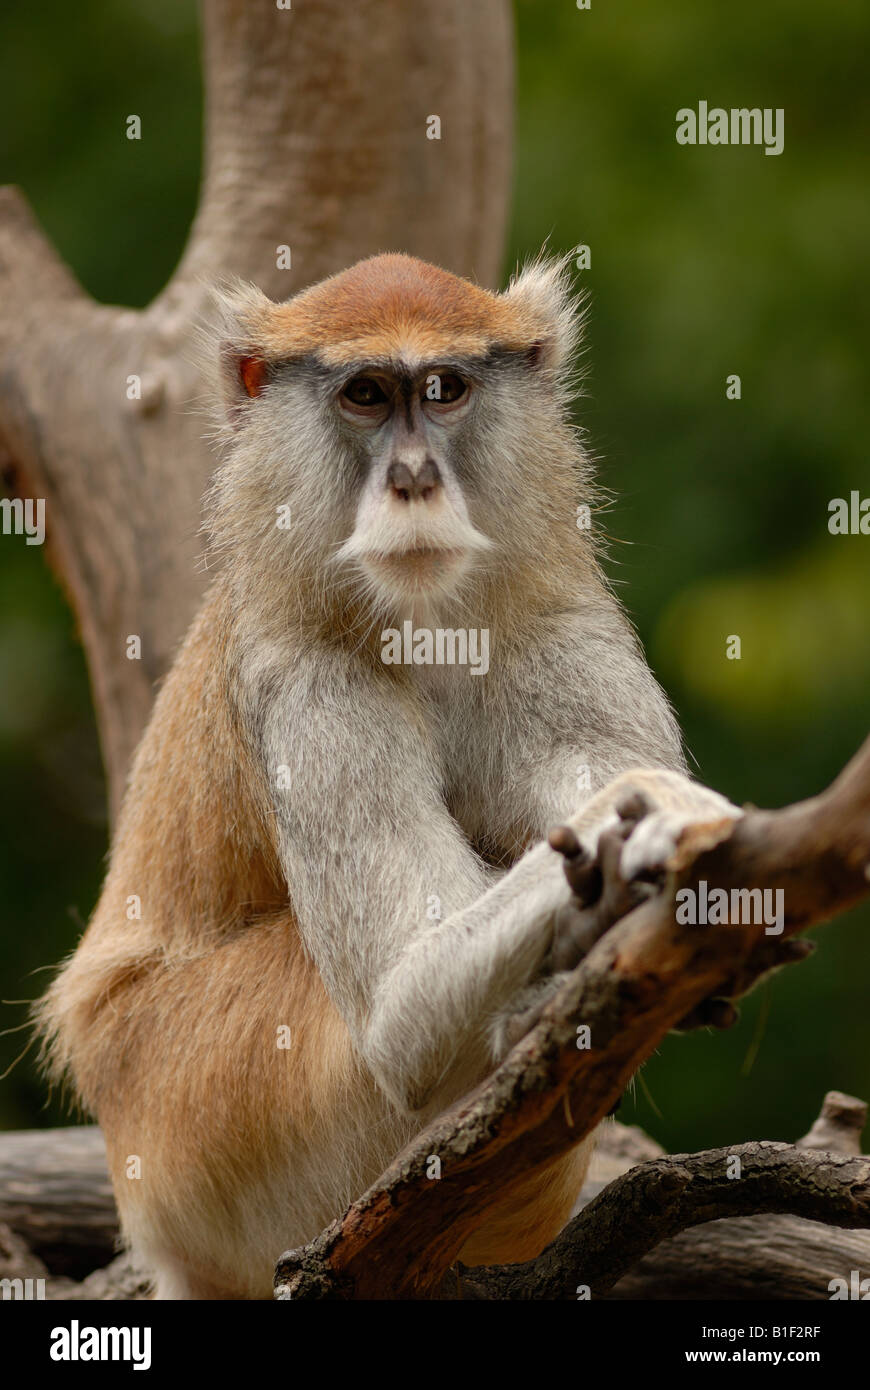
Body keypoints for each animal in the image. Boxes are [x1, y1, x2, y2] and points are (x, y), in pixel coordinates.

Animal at [36, 252, 740, 1300]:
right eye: (367, 395)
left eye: (443, 390)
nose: (413, 477)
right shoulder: (307, 688)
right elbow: (402, 1015)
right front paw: (662, 813)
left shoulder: (569, 643)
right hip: (188, 1110)